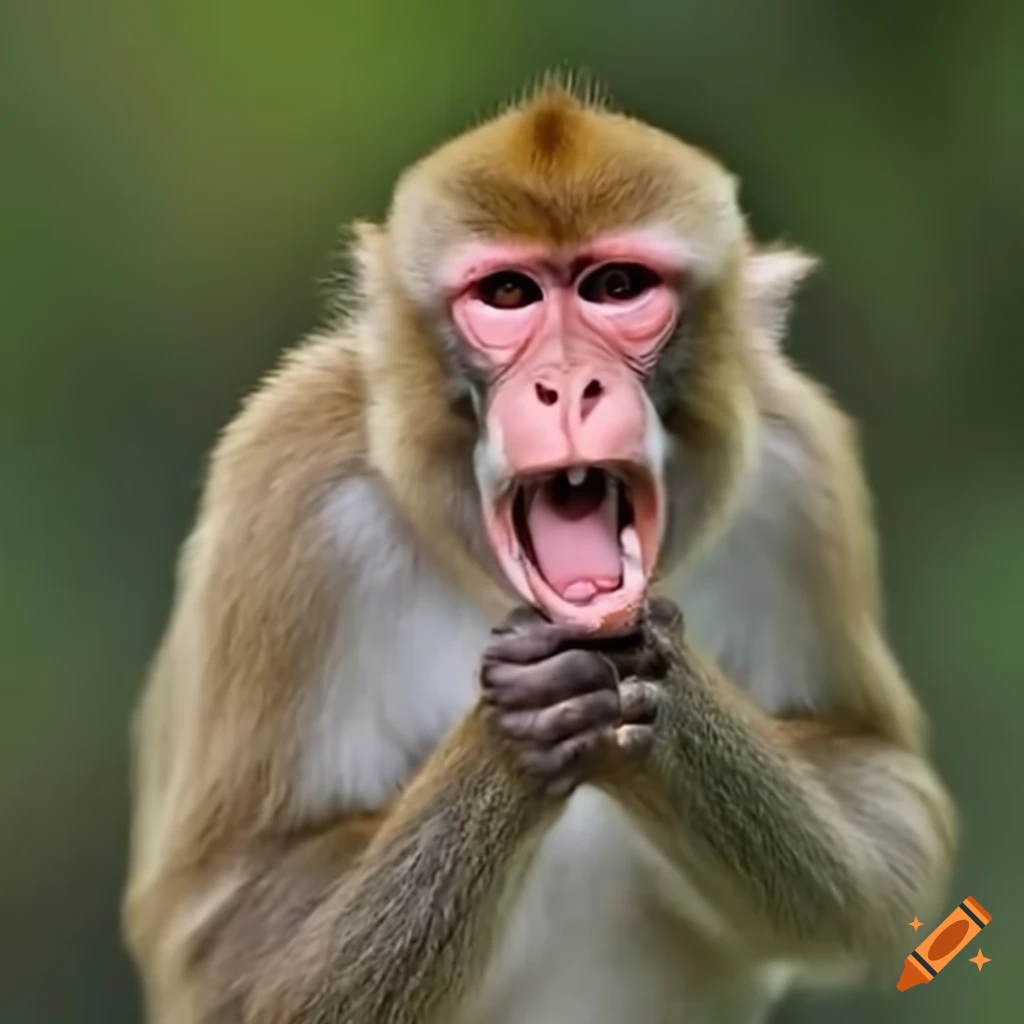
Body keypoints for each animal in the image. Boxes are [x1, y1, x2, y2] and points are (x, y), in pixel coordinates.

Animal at [122, 78, 956, 1024]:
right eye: (510, 293)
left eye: (616, 286)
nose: (566, 384)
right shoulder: (286, 496)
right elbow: (228, 934)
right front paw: (519, 731)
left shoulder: (800, 470)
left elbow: (885, 793)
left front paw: (661, 689)